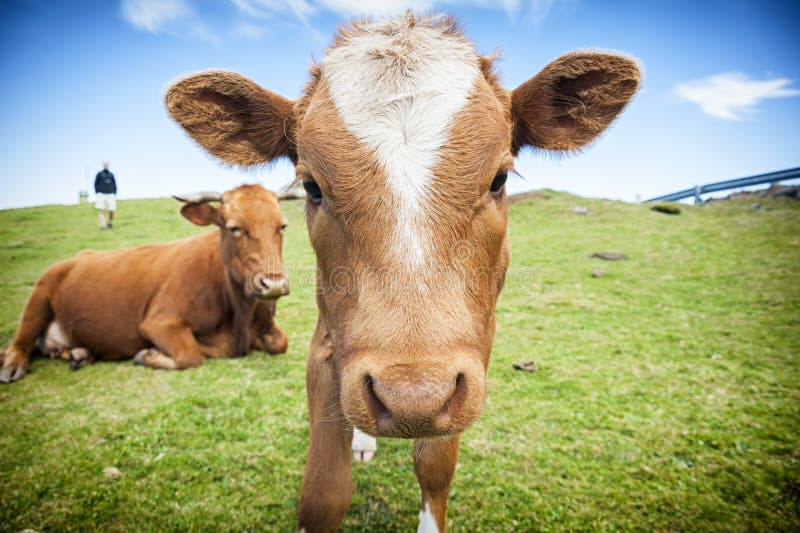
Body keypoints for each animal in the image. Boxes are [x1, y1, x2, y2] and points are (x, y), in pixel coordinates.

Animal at [0, 185, 289, 382]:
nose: (273, 283)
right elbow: (190, 354)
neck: (240, 313)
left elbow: (281, 342)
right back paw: (12, 366)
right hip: (40, 292)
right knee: (20, 341)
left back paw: (80, 355)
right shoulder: (159, 321)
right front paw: (149, 354)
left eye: (282, 226)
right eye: (234, 228)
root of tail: (78, 256)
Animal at [164, 12, 640, 532]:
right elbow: (324, 489)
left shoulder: (467, 364)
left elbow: (436, 465)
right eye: (311, 186)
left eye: (499, 179)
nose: (412, 396)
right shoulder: (326, 347)